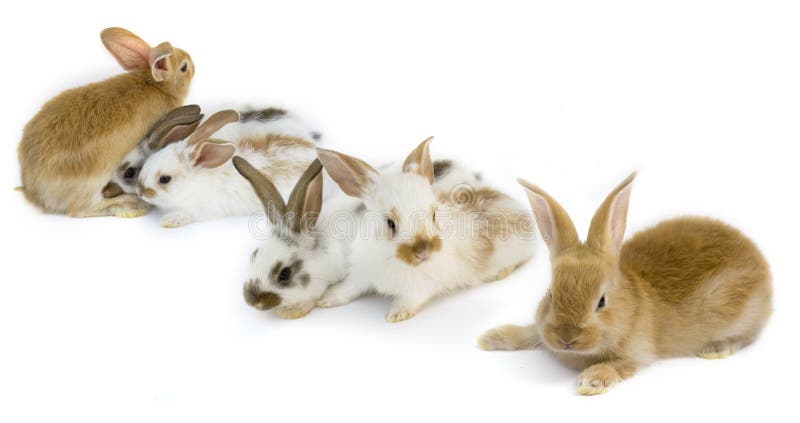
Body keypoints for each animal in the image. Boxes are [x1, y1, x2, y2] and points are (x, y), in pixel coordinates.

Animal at [17, 27, 194, 217]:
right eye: (184, 67)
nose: (193, 64)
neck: (154, 85)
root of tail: (34, 192)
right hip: (93, 180)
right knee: (82, 209)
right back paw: (132, 204)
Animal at [137, 108, 320, 227]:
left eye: (164, 179)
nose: (140, 192)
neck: (195, 183)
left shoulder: (204, 209)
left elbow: (187, 214)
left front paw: (169, 220)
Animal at [315, 137, 537, 322]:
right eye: (390, 223)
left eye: (433, 215)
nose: (423, 252)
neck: (391, 259)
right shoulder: (362, 273)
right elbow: (349, 288)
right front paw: (325, 299)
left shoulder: (420, 288)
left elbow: (410, 300)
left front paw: (396, 315)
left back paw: (498, 274)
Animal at [478, 173, 773, 395]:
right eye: (550, 295)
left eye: (601, 301)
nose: (566, 338)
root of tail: (759, 260)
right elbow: (531, 332)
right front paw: (492, 338)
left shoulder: (637, 355)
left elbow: (618, 365)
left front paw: (592, 381)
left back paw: (715, 349)